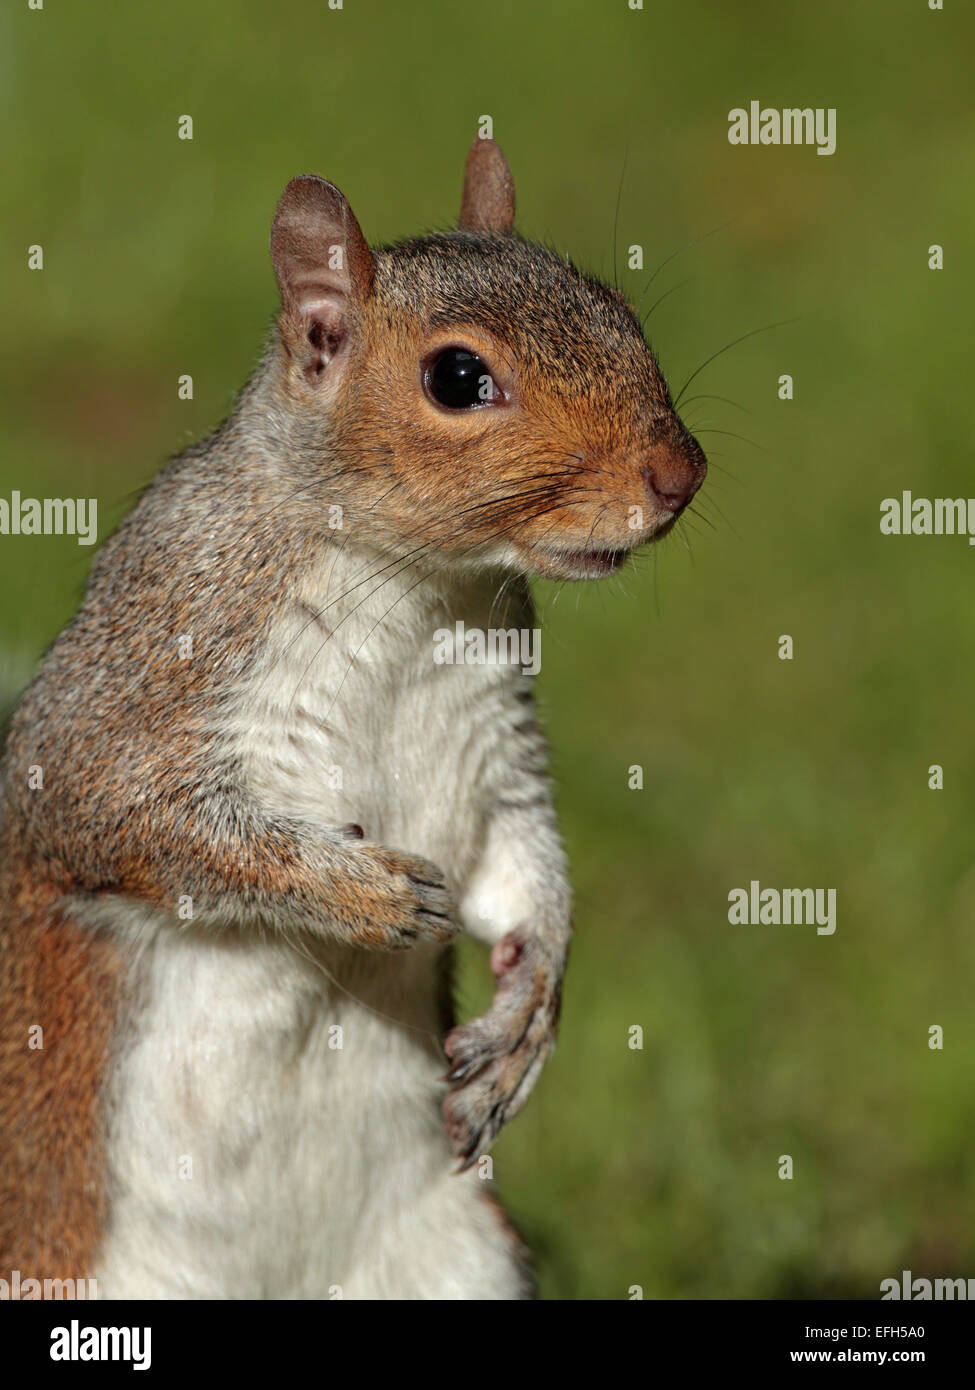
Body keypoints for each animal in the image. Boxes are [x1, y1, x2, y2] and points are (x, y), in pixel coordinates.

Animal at [0, 137, 705, 1300]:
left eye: (616, 307)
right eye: (457, 377)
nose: (679, 475)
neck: (409, 582)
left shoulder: (497, 741)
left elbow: (527, 867)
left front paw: (527, 1018)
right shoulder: (149, 658)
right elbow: (120, 815)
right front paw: (359, 891)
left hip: (457, 1259)